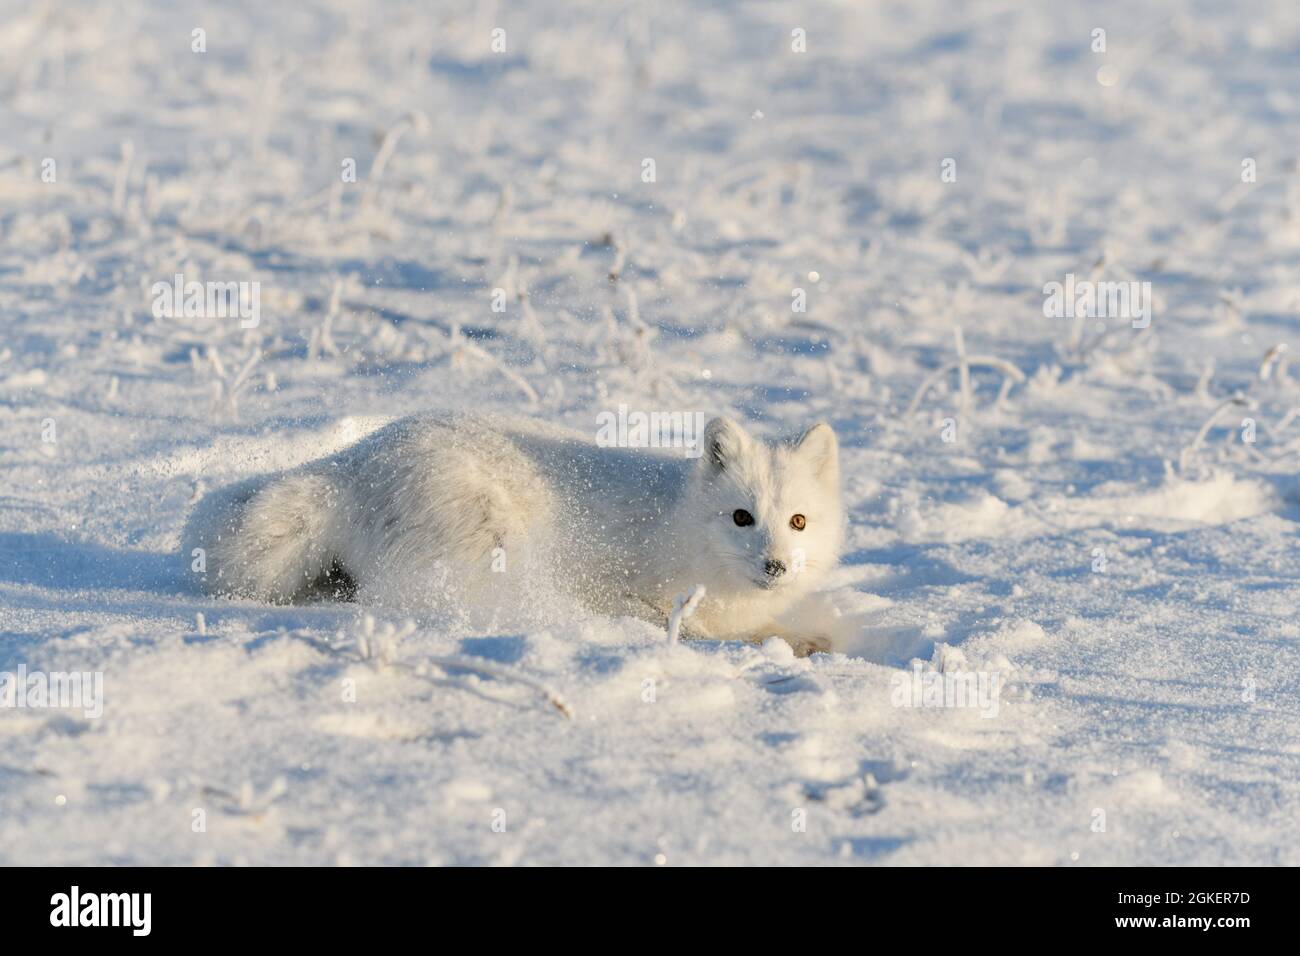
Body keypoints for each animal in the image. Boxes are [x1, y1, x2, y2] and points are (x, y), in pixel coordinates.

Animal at [182, 414, 845, 651]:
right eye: (741, 517)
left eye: (798, 521)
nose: (777, 566)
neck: (677, 522)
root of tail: (350, 465)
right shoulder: (622, 587)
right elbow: (685, 625)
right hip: (491, 541)